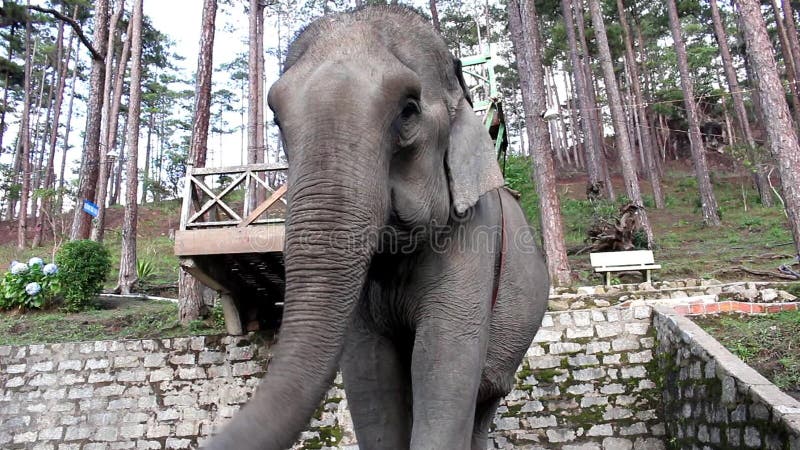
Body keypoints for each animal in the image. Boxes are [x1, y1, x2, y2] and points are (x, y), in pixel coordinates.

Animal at [204, 5, 550, 450]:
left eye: (409, 110)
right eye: (277, 119)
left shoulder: (474, 237)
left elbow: (443, 371)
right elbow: (371, 376)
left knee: (483, 401)